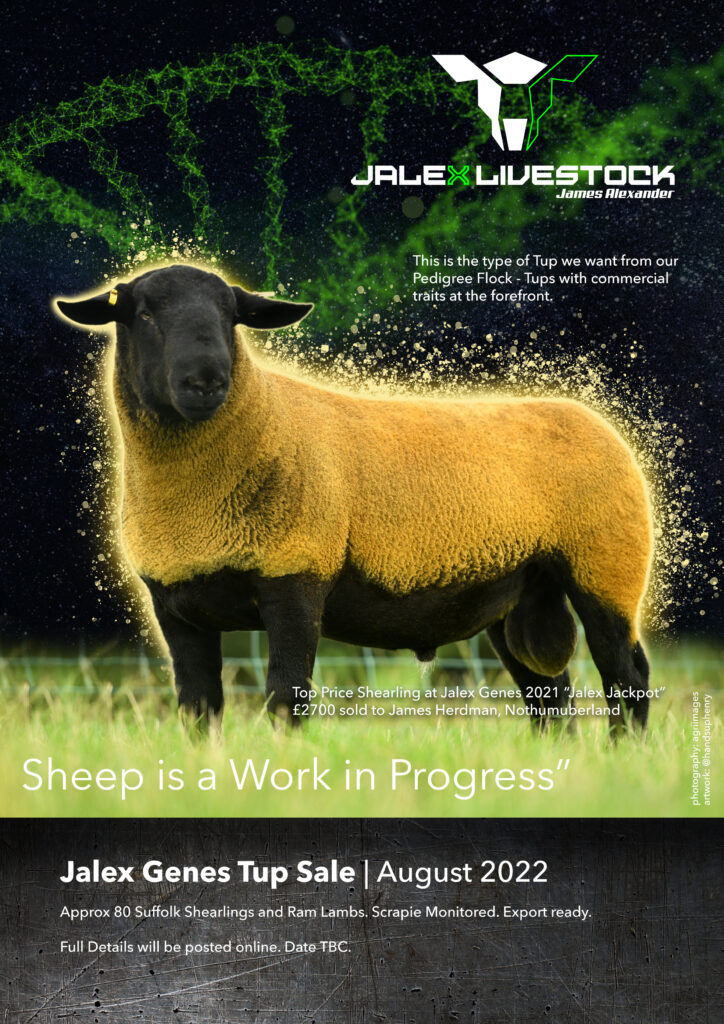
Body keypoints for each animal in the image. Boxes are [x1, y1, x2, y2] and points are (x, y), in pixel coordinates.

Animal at [57, 264, 653, 731]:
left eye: (231, 316)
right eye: (143, 314)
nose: (206, 381)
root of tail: (594, 420)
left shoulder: (297, 575)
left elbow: (285, 697)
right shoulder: (174, 604)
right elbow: (199, 708)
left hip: (607, 566)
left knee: (628, 676)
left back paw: (624, 755)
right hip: (519, 593)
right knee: (551, 697)